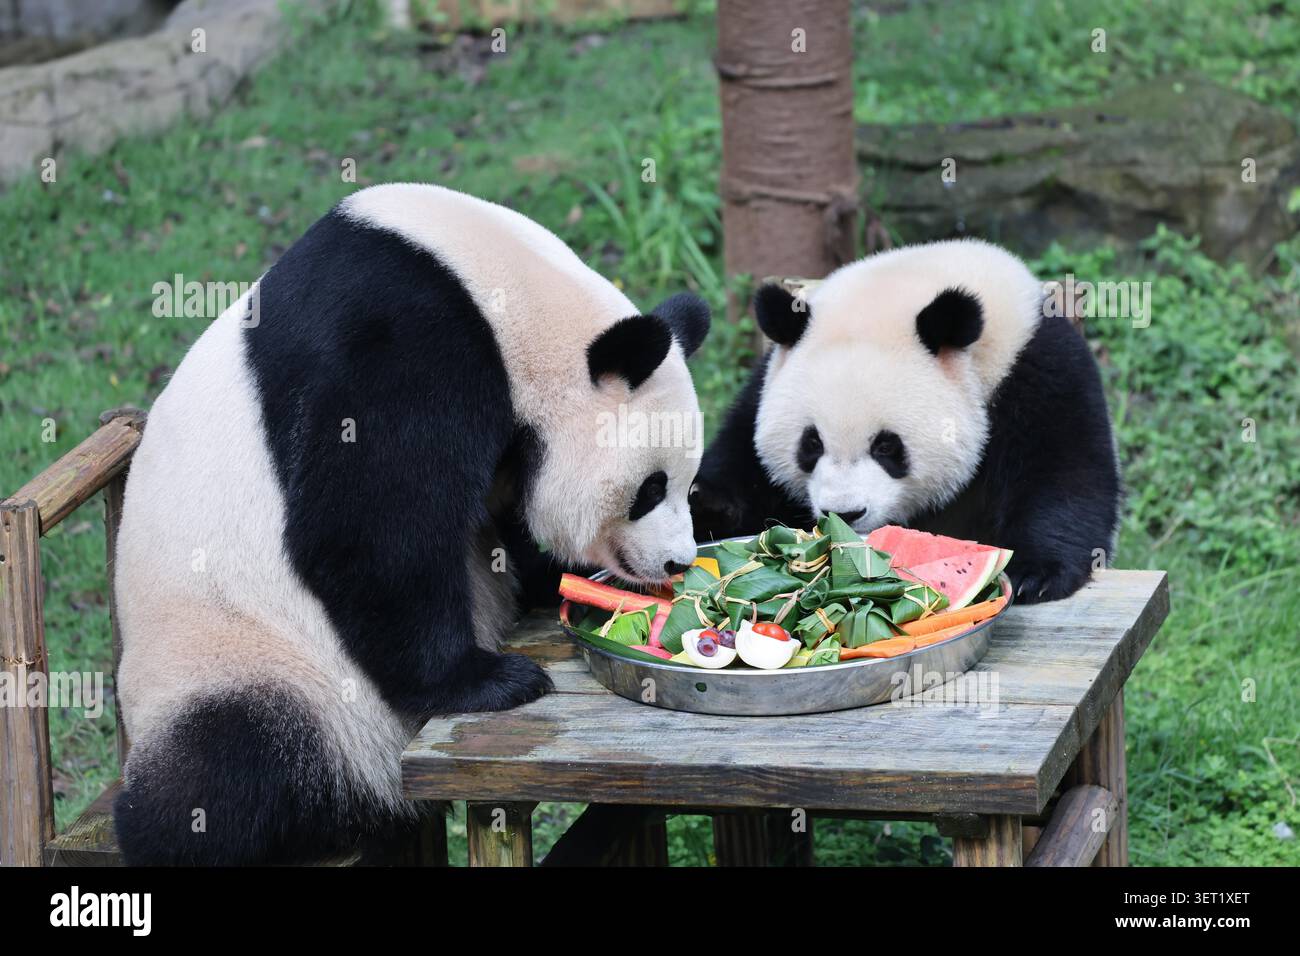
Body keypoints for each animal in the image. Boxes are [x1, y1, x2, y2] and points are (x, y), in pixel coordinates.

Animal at [112, 182, 710, 865]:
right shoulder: (393, 343)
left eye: (687, 482)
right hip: (240, 657)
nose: (677, 562)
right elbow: (371, 532)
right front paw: (490, 680)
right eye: (651, 488)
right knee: (223, 771)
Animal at [690, 238, 1120, 604]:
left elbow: (1065, 471)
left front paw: (1033, 572)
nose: (845, 514)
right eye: (811, 444)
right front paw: (703, 504)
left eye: (887, 446)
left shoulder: (1038, 369)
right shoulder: (762, 386)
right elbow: (741, 459)